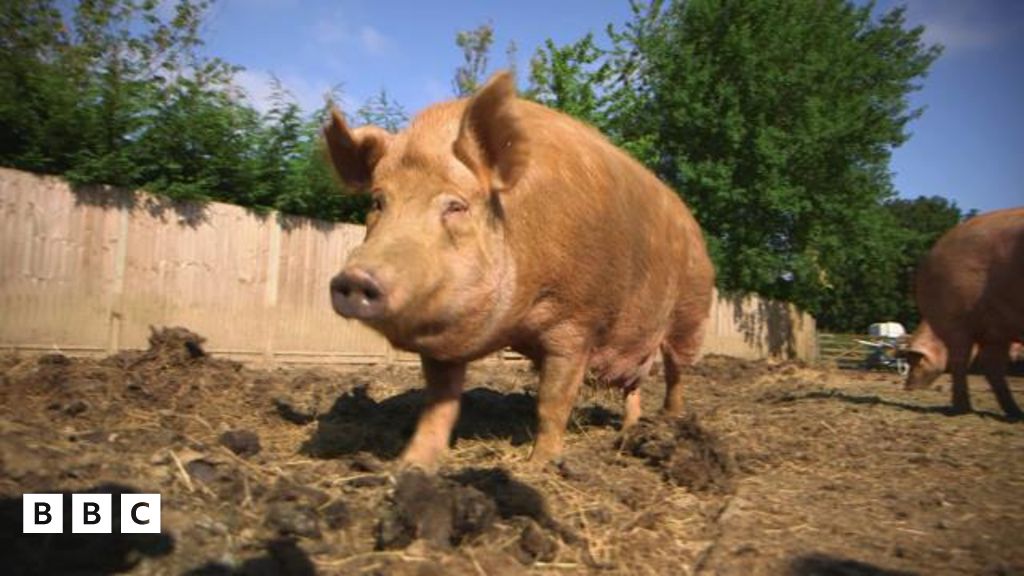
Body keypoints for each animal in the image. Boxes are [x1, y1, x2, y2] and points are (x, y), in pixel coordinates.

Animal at [324, 71, 715, 471]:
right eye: (378, 202)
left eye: (456, 206)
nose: (354, 278)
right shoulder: (442, 342)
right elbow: (439, 406)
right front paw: (410, 466)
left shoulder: (576, 324)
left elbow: (552, 402)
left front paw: (538, 466)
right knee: (635, 386)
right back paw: (632, 430)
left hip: (691, 315)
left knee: (676, 373)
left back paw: (670, 422)